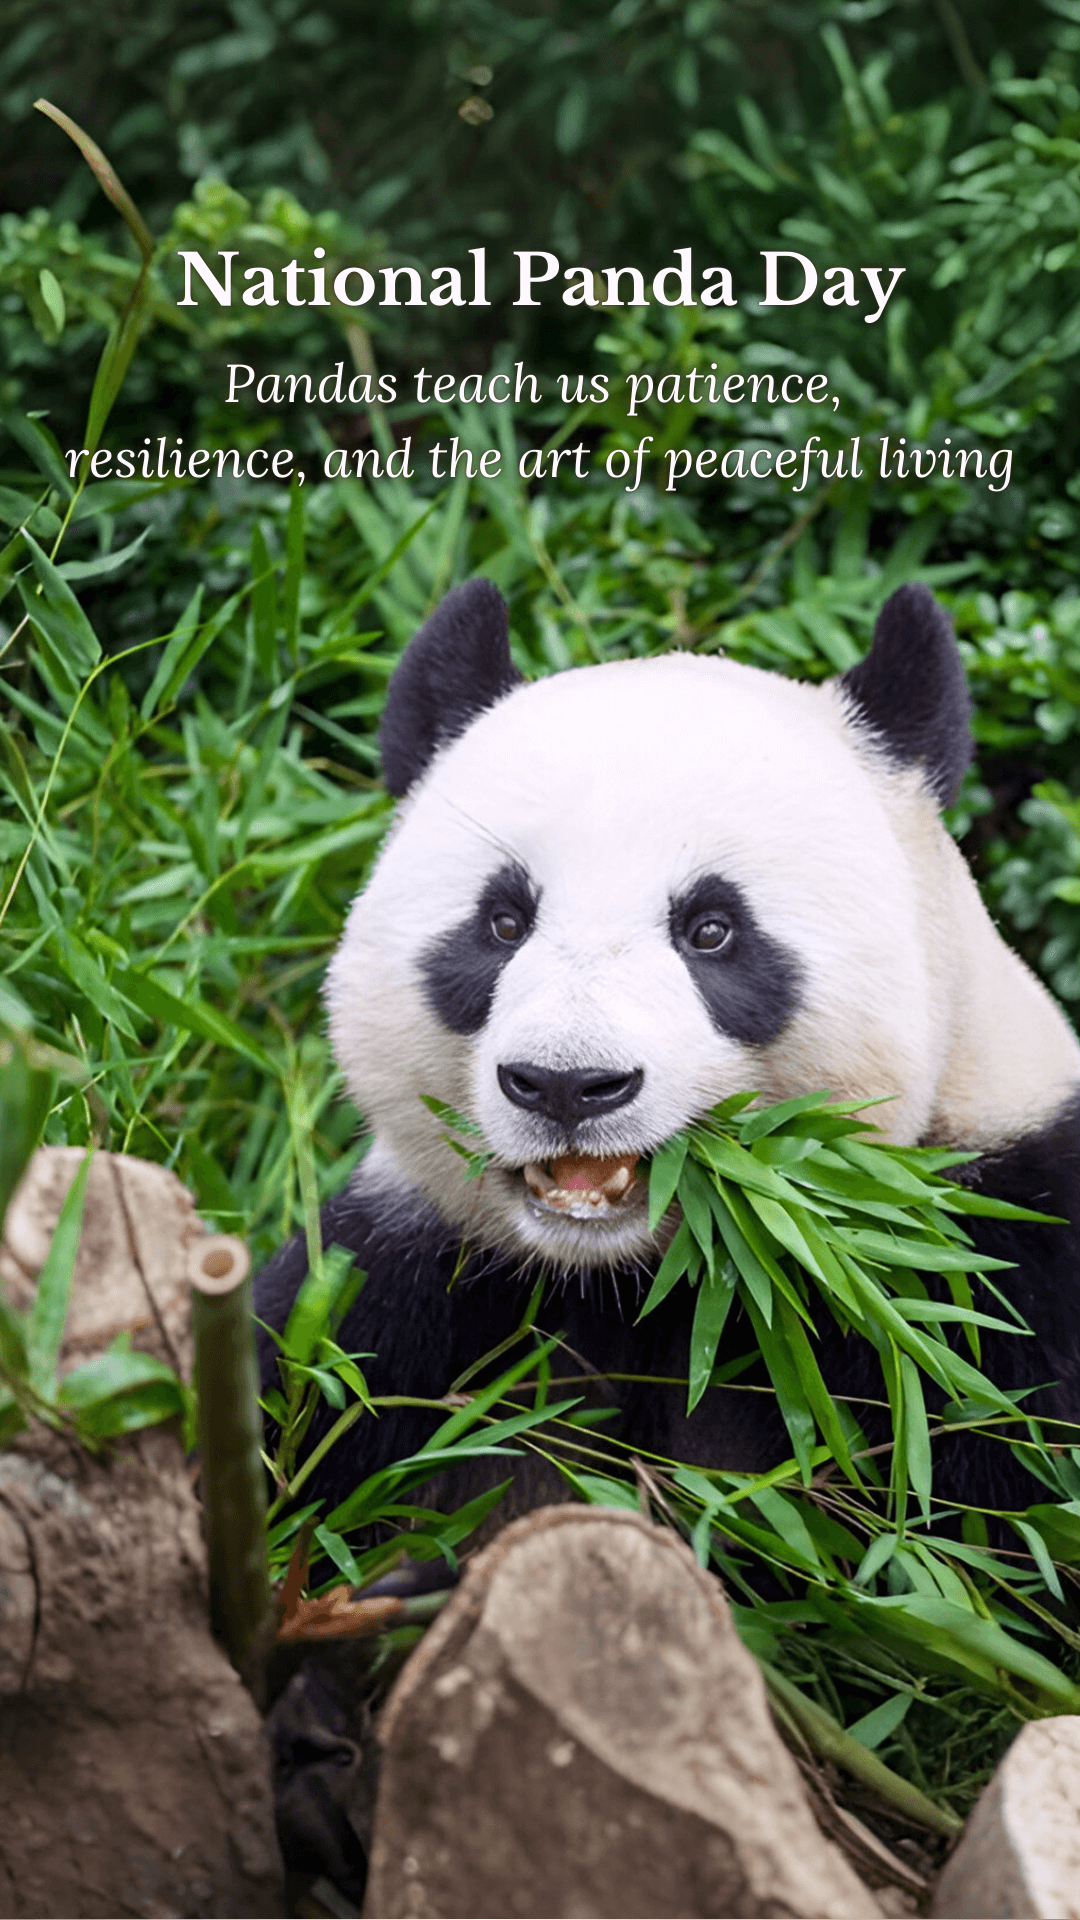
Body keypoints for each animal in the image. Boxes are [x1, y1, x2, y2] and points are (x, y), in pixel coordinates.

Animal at [254, 577, 1080, 1522]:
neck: (642, 1280)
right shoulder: (400, 1280)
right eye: (503, 923)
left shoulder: (989, 1262)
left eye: (712, 929)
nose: (566, 1084)